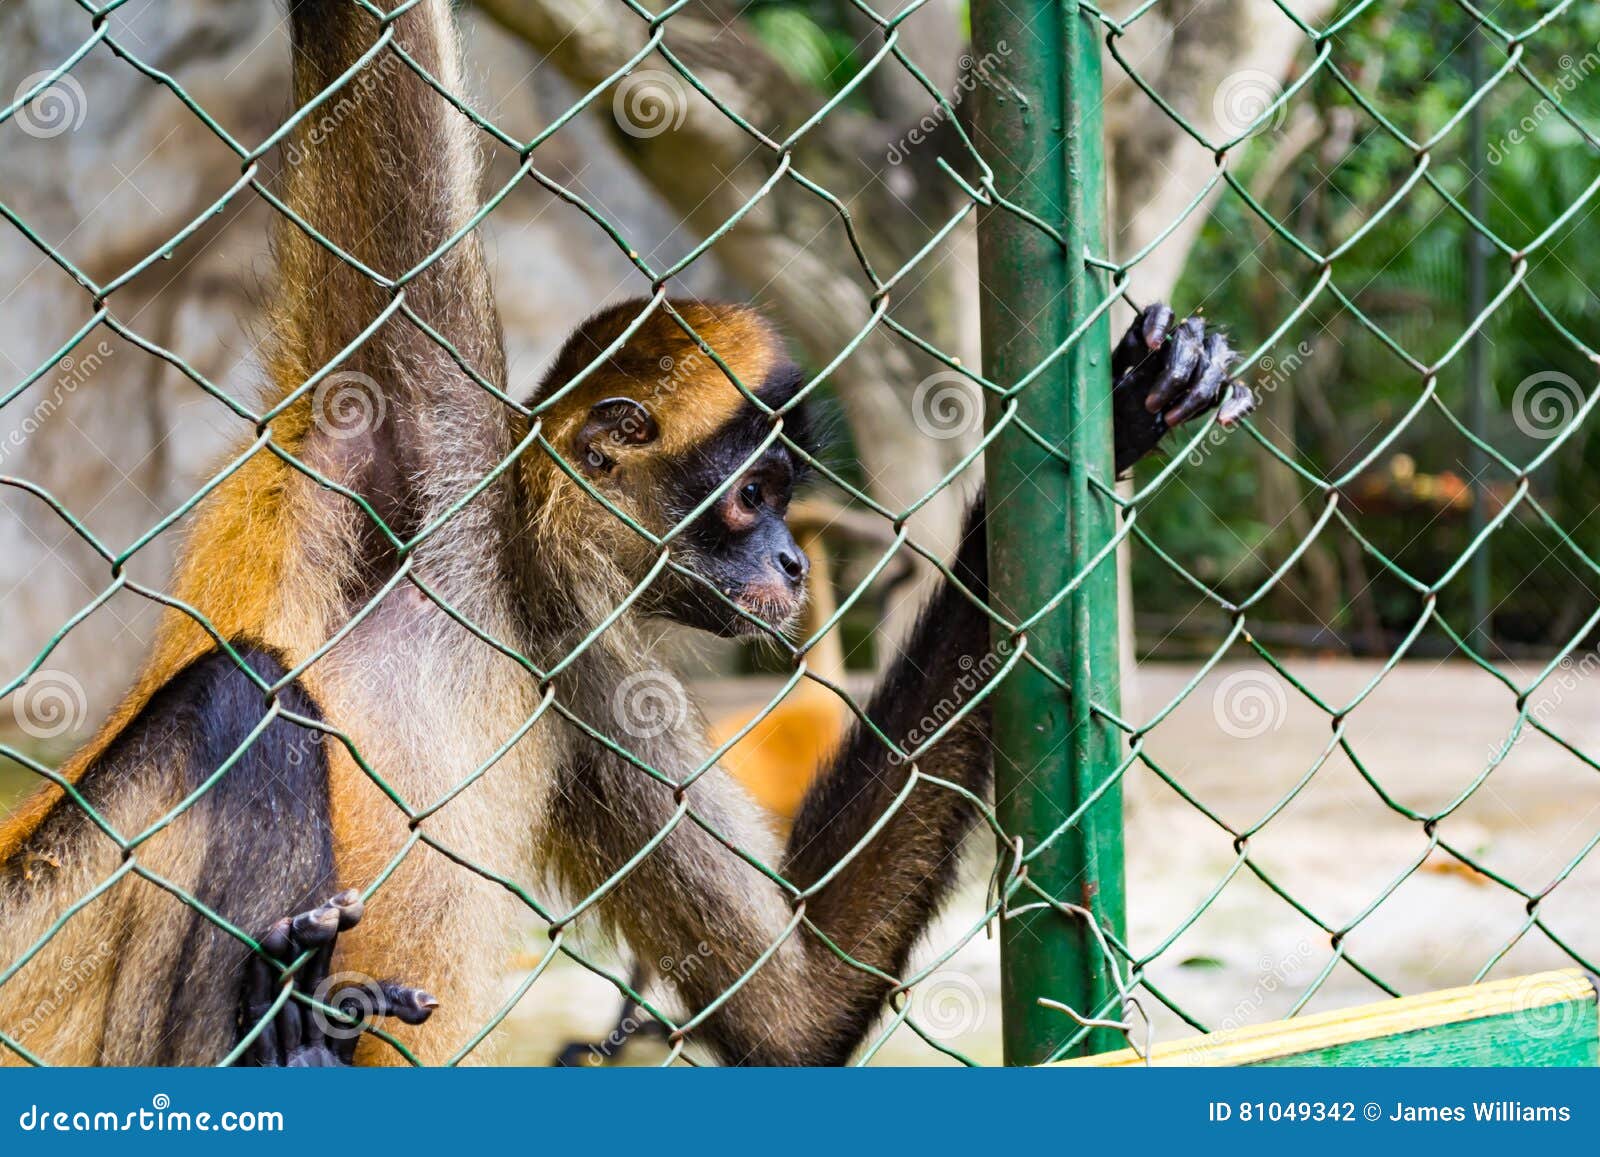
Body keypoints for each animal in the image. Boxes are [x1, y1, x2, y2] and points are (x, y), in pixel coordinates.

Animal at [0, 0, 1252, 1067]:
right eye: (753, 496)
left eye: (788, 499)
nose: (788, 558)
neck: (502, 574)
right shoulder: (414, 431)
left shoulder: (579, 657)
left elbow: (790, 1009)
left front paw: (1124, 410)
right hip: (36, 952)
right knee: (242, 698)